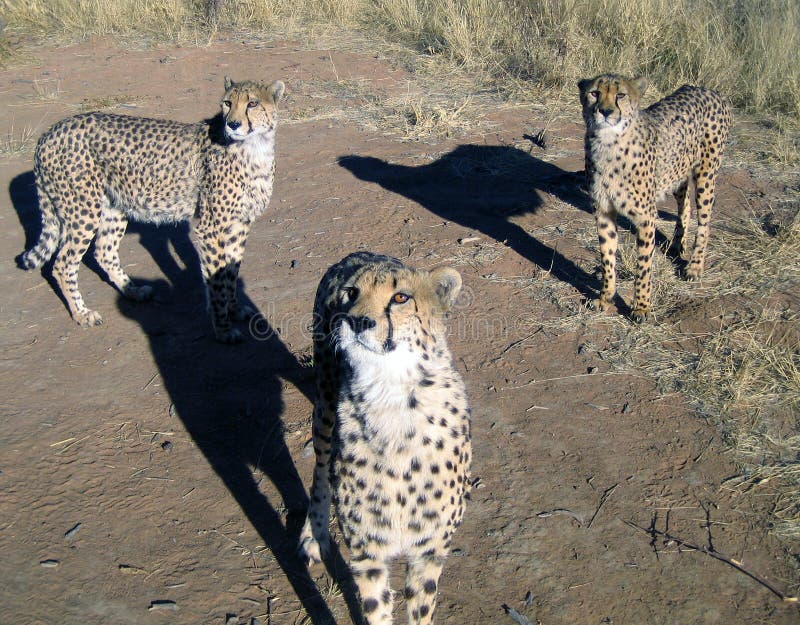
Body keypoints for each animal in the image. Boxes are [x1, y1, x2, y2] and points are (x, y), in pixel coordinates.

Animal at [19, 76, 285, 343]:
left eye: (252, 103)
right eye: (228, 103)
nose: (233, 124)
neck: (254, 147)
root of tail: (50, 132)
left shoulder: (239, 224)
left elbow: (230, 271)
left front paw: (235, 309)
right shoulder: (210, 227)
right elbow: (218, 280)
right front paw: (223, 329)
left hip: (114, 205)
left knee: (104, 250)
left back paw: (132, 291)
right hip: (83, 210)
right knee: (63, 264)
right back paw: (82, 314)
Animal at [298, 252, 472, 625]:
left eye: (401, 297)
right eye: (351, 293)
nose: (356, 322)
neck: (392, 392)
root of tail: (359, 251)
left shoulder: (429, 550)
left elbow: (421, 610)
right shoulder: (367, 551)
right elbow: (376, 612)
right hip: (324, 404)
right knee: (321, 467)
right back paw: (313, 534)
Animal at [578, 73, 732, 321]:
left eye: (620, 95)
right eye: (594, 93)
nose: (605, 111)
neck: (608, 142)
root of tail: (708, 90)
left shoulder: (646, 217)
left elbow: (643, 266)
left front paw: (641, 307)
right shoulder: (603, 211)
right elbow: (607, 257)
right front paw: (606, 297)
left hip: (706, 176)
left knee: (705, 221)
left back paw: (695, 266)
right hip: (677, 173)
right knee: (684, 204)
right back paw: (677, 244)